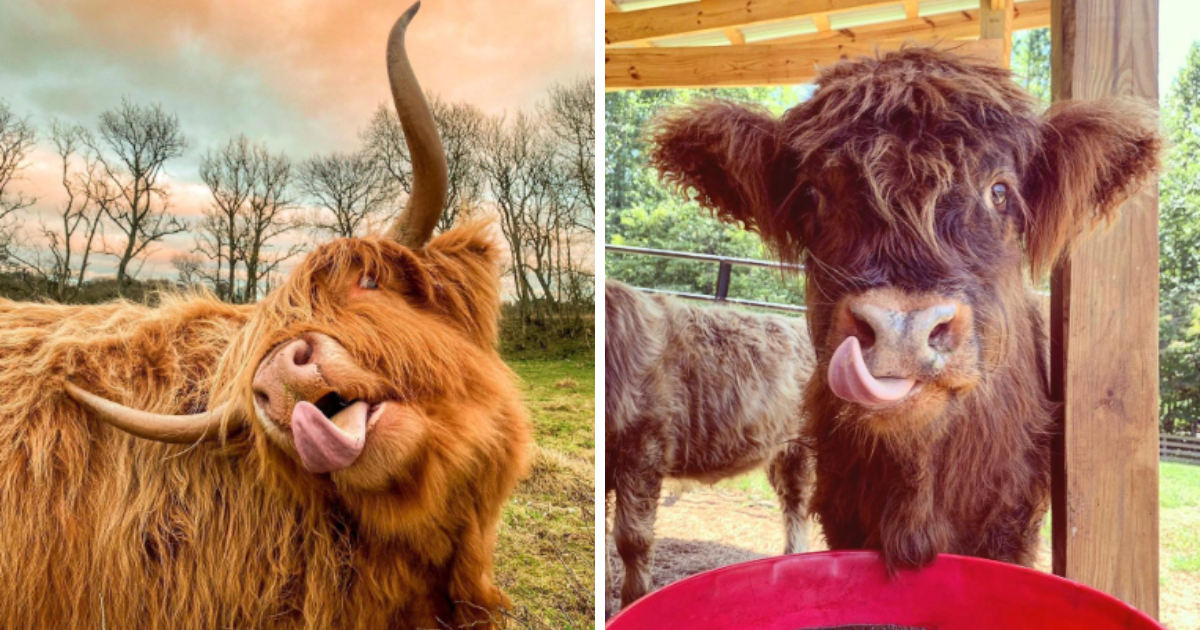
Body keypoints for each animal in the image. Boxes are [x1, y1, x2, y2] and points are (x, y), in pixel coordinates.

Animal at [605, 279, 815, 608]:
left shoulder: (644, 449)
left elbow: (631, 539)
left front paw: (633, 600)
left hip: (806, 450)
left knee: (801, 505)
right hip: (784, 452)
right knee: (792, 502)